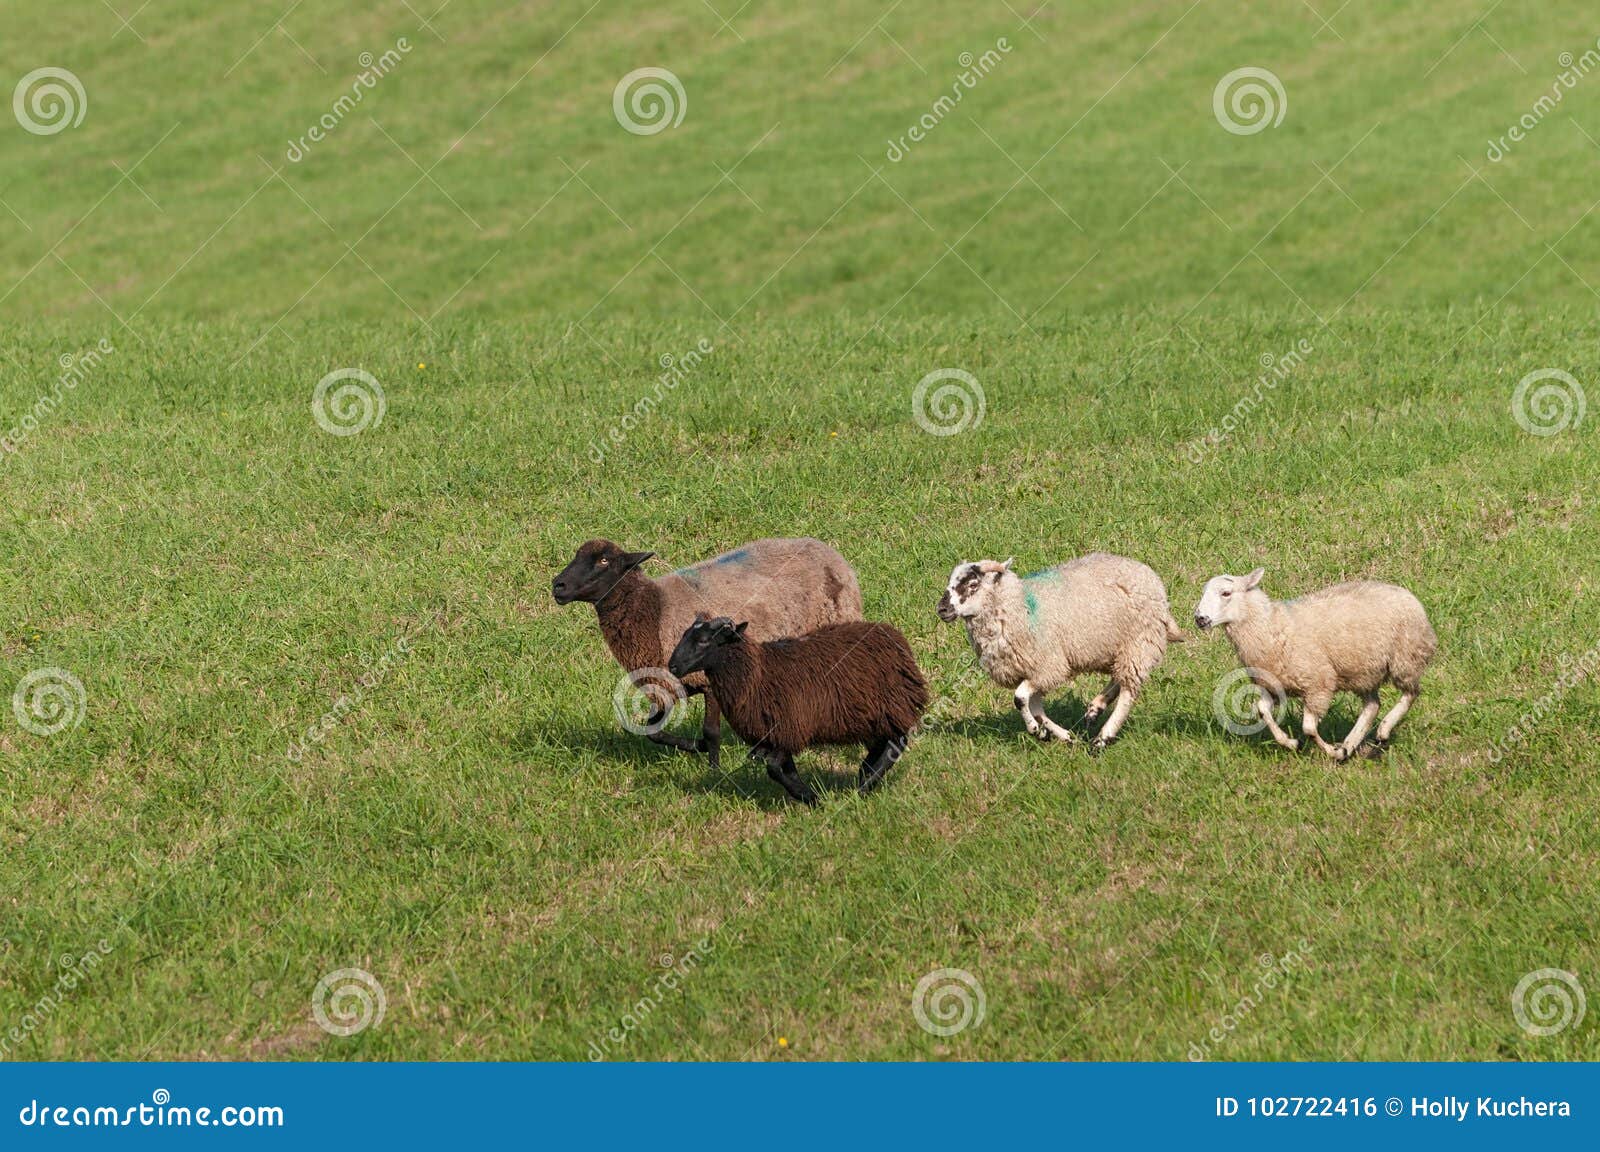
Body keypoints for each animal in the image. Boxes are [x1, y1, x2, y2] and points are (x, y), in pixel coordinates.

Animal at [552, 537, 862, 769]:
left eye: (604, 561)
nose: (558, 585)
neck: (654, 611)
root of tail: (832, 553)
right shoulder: (664, 685)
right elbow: (655, 732)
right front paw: (695, 747)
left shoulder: (708, 680)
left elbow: (711, 732)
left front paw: (714, 769)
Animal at [667, 615, 929, 805]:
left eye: (703, 641)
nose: (672, 667)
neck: (757, 674)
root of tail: (890, 633)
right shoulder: (778, 735)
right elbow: (785, 771)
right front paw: (810, 798)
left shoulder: (789, 728)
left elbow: (773, 769)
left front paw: (812, 798)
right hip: (869, 718)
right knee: (880, 747)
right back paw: (864, 774)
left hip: (892, 708)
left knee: (895, 745)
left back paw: (864, 787)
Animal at [936, 553, 1186, 753]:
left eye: (972, 585)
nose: (941, 609)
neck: (1015, 605)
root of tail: (1147, 574)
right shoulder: (1032, 672)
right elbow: (1033, 706)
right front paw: (1058, 735)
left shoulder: (1047, 667)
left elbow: (1019, 699)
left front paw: (1036, 730)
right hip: (1119, 648)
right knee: (1119, 678)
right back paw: (1095, 708)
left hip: (1139, 642)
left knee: (1128, 691)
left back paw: (1102, 738)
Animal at [1192, 569, 1437, 760]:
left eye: (1226, 593)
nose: (1200, 619)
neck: (1272, 626)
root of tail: (1403, 591)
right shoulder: (1272, 685)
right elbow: (1262, 711)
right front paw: (1292, 743)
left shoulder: (1318, 685)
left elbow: (1309, 728)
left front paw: (1329, 751)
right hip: (1363, 671)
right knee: (1372, 706)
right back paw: (1350, 745)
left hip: (1405, 658)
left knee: (1411, 693)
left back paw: (1383, 731)